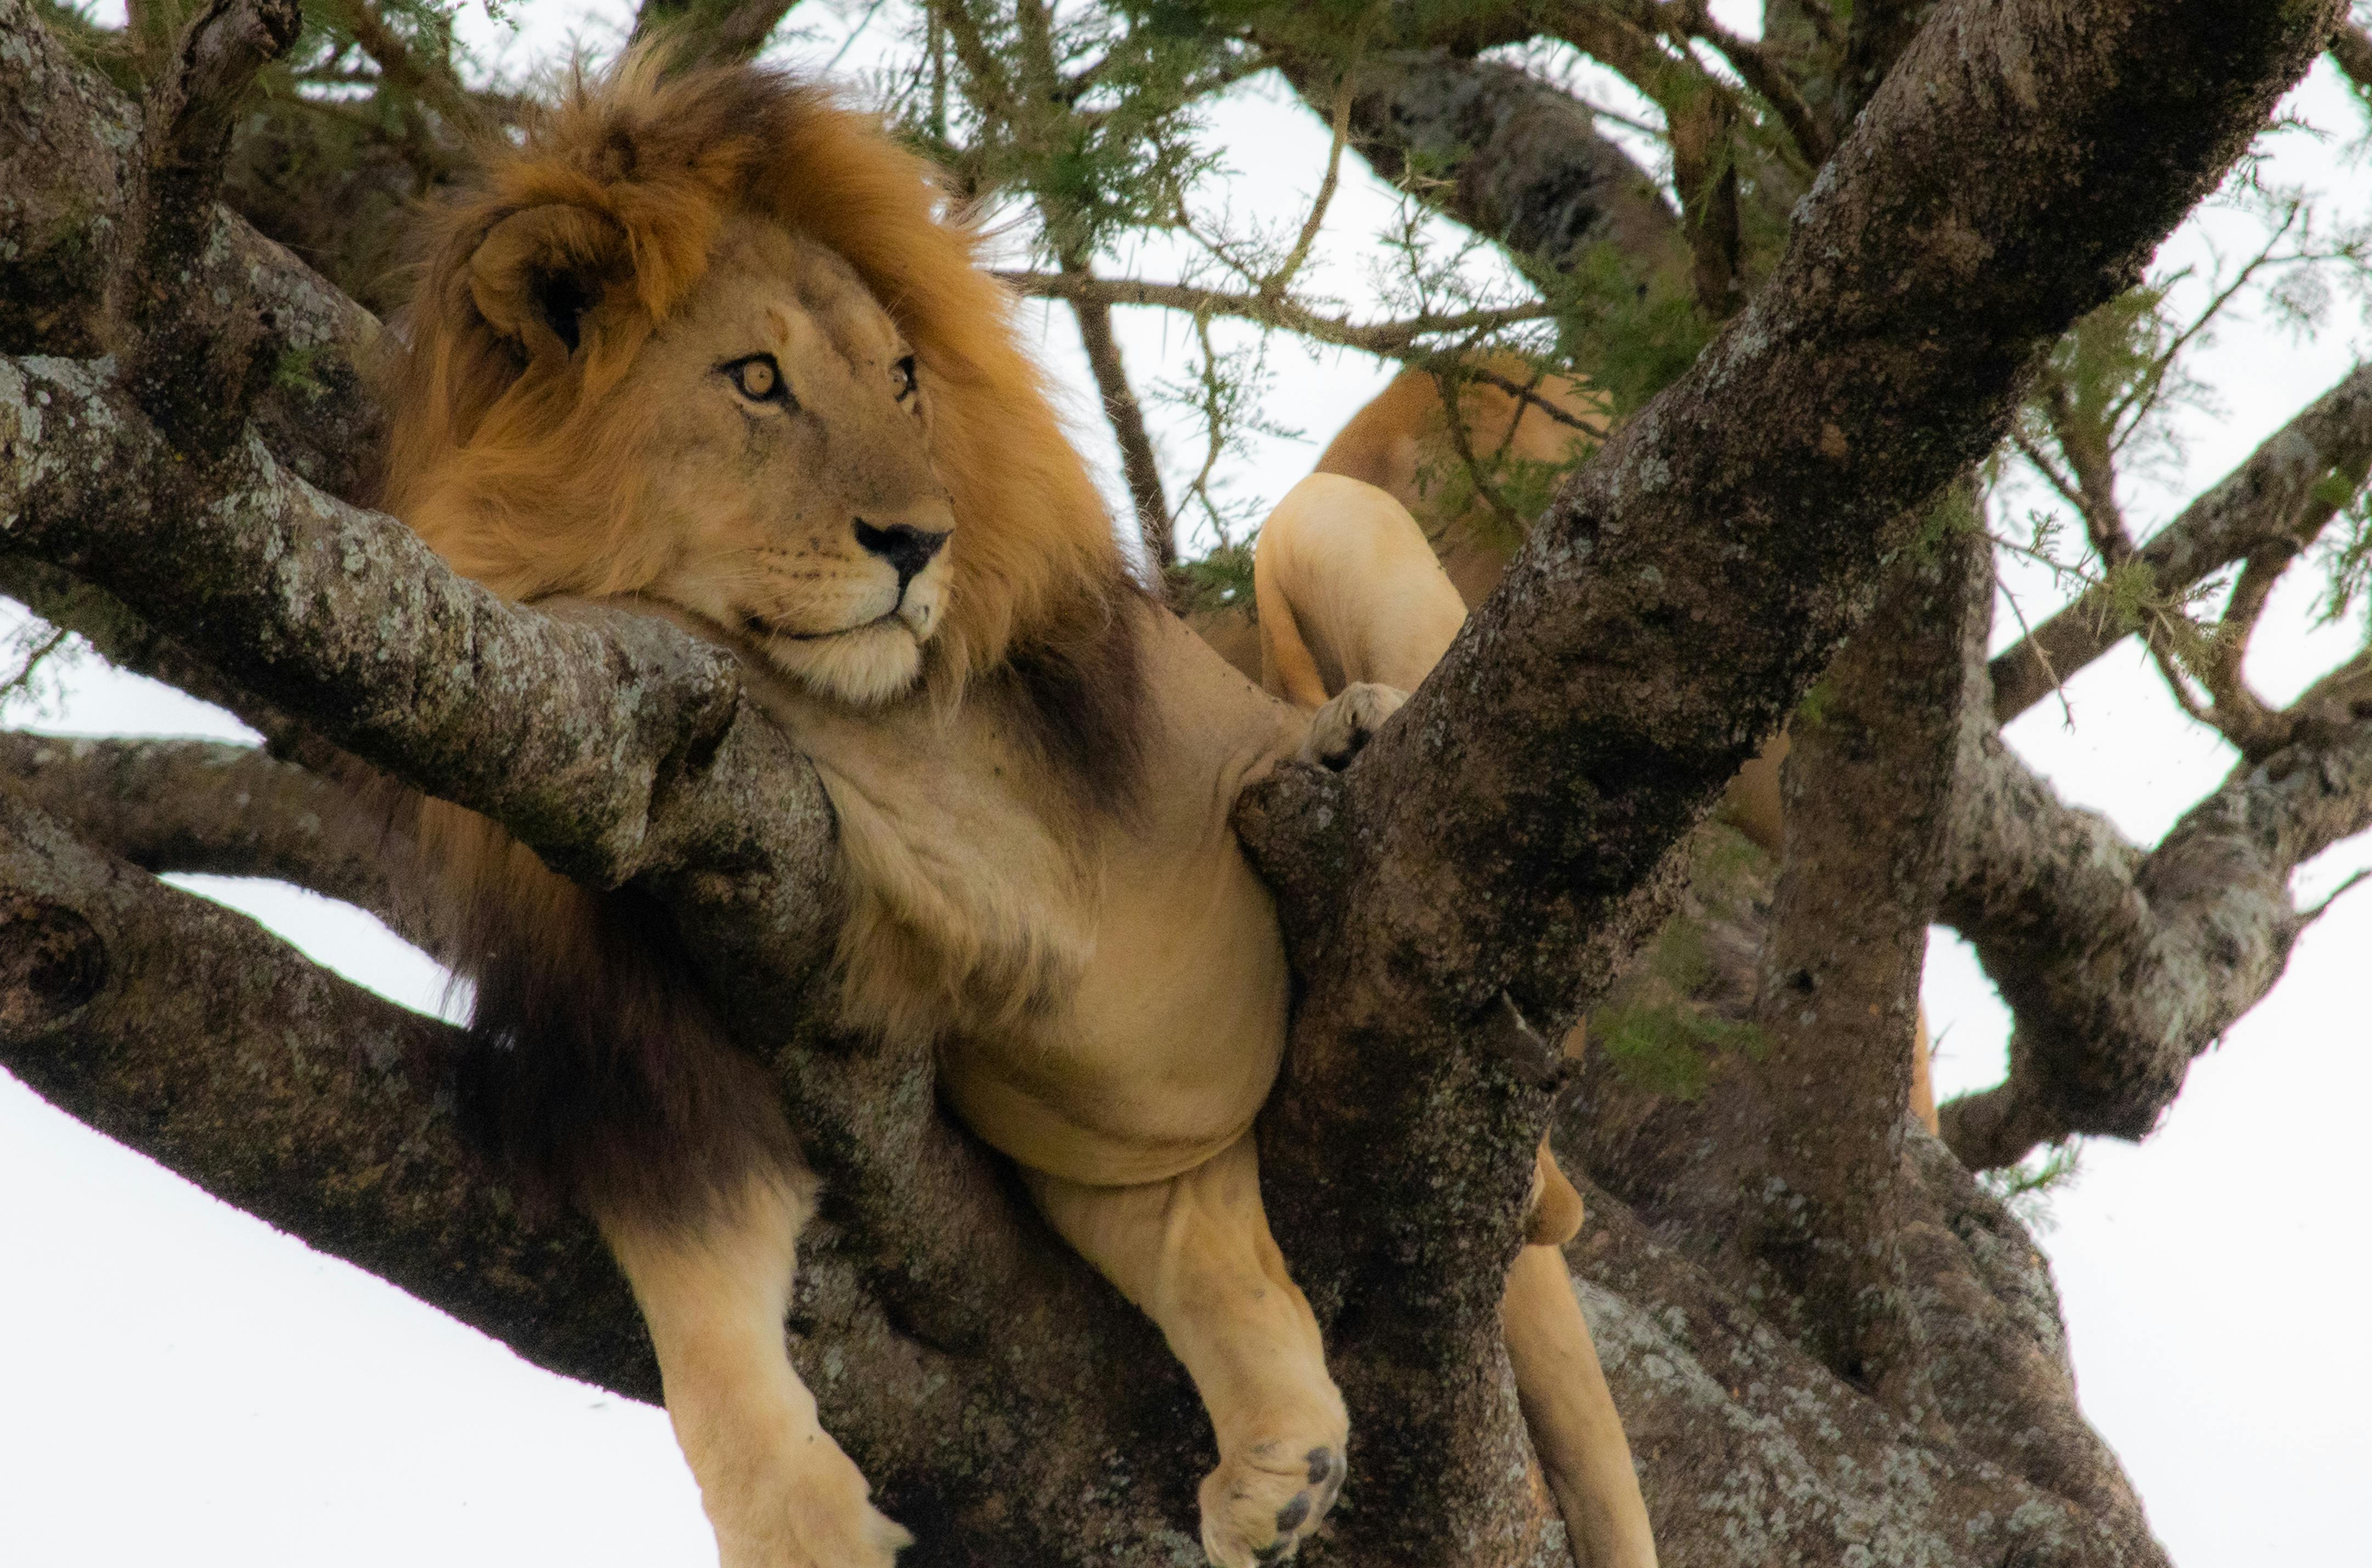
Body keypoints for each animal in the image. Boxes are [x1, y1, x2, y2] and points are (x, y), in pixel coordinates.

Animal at [374, 52, 1657, 1568]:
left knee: (1546, 1183)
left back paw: (1363, 752)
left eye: (903, 379)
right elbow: (698, 1284)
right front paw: (797, 1516)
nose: (917, 542)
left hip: (1326, 522)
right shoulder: (672, 1038)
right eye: (755, 381)